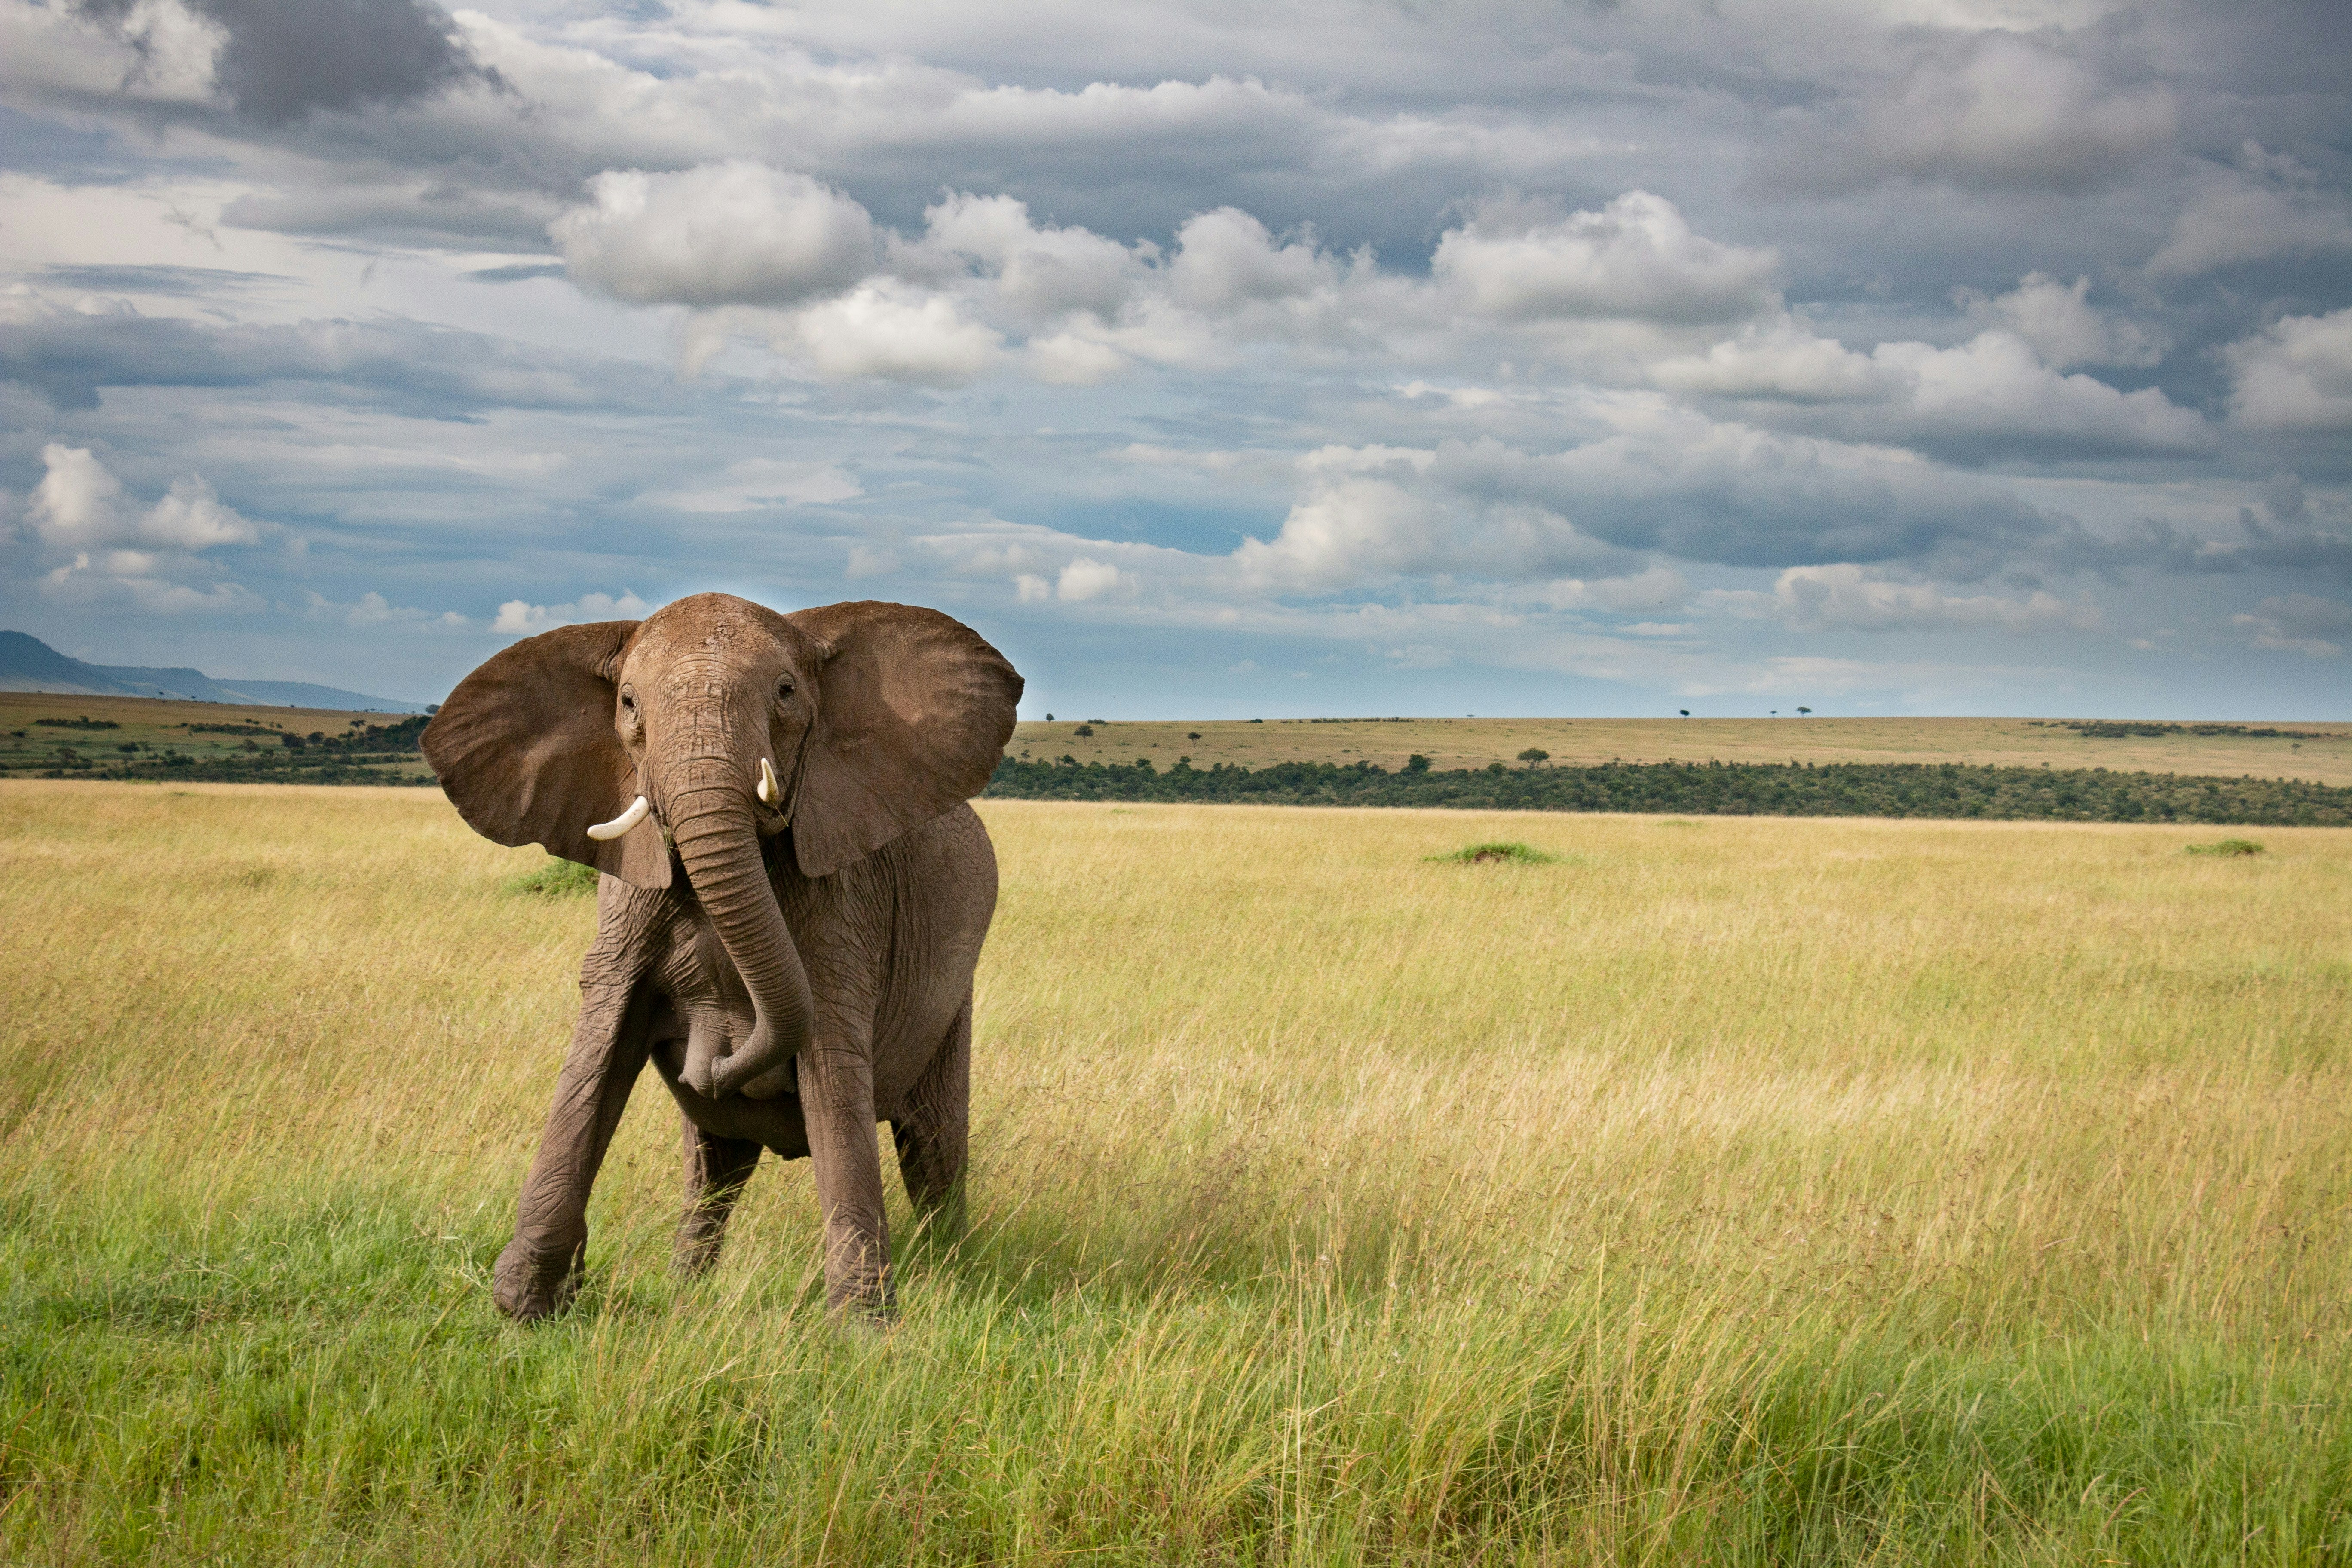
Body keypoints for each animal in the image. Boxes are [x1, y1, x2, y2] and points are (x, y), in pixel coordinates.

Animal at [421, 592, 1023, 1321]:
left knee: (933, 1150)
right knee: (715, 1165)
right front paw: (523, 1307)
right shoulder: (629, 898)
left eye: (786, 692)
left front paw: (865, 1333)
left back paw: (954, 1278)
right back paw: (687, 1288)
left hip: (953, 997)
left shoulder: (843, 904)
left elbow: (832, 1070)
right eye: (628, 703)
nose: (711, 1059)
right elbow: (598, 1050)